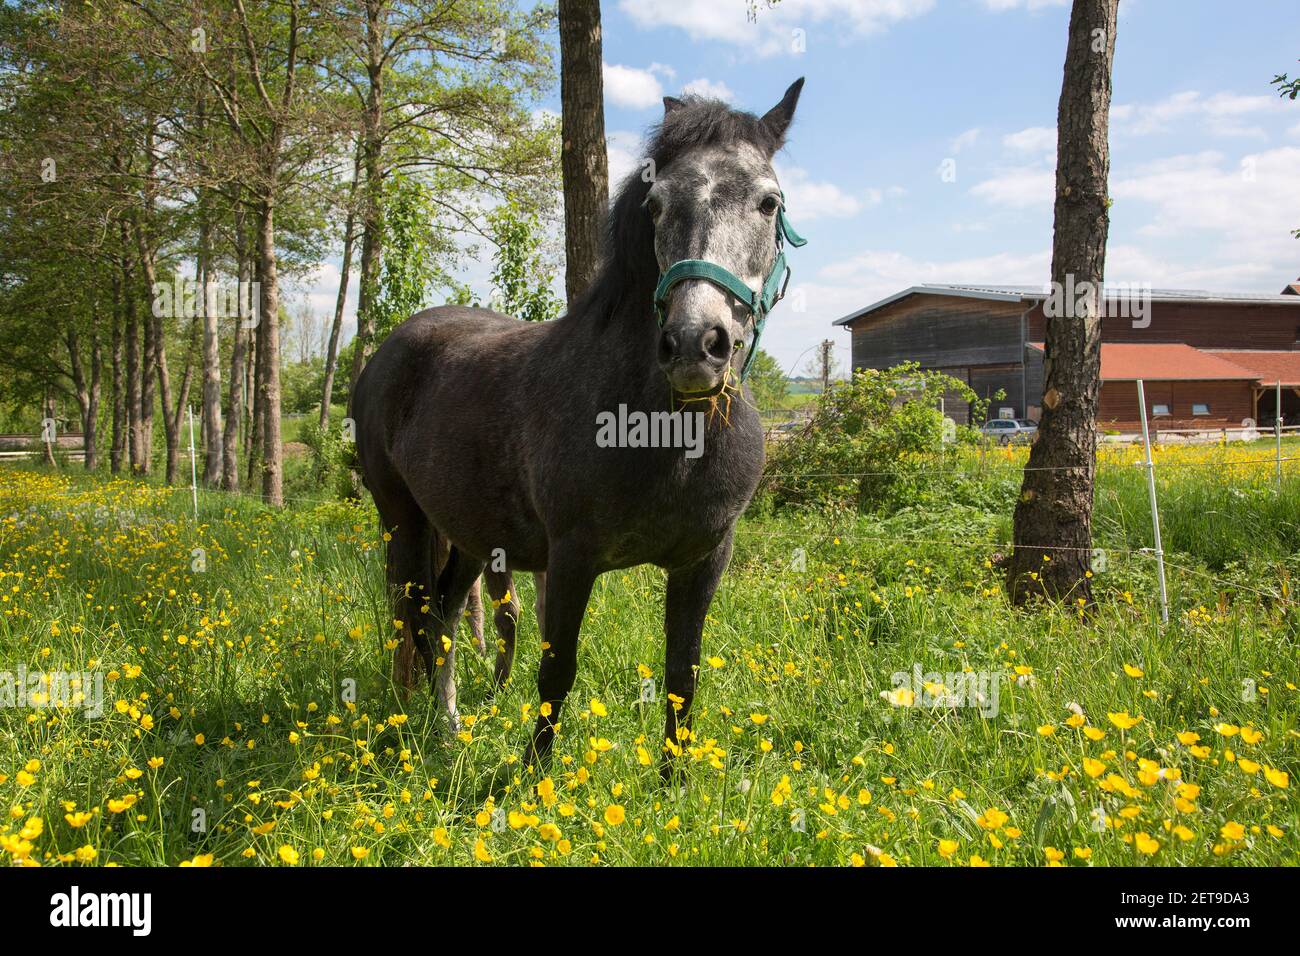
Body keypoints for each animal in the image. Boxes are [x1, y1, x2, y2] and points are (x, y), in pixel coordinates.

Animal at [351, 78, 805, 776]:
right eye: (655, 203)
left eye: (767, 202)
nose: (695, 345)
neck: (664, 434)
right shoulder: (571, 558)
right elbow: (556, 671)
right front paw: (534, 783)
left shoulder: (704, 559)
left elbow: (683, 675)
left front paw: (674, 782)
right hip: (404, 521)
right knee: (417, 621)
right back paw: (430, 736)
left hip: (470, 537)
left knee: (446, 616)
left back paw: (451, 733)